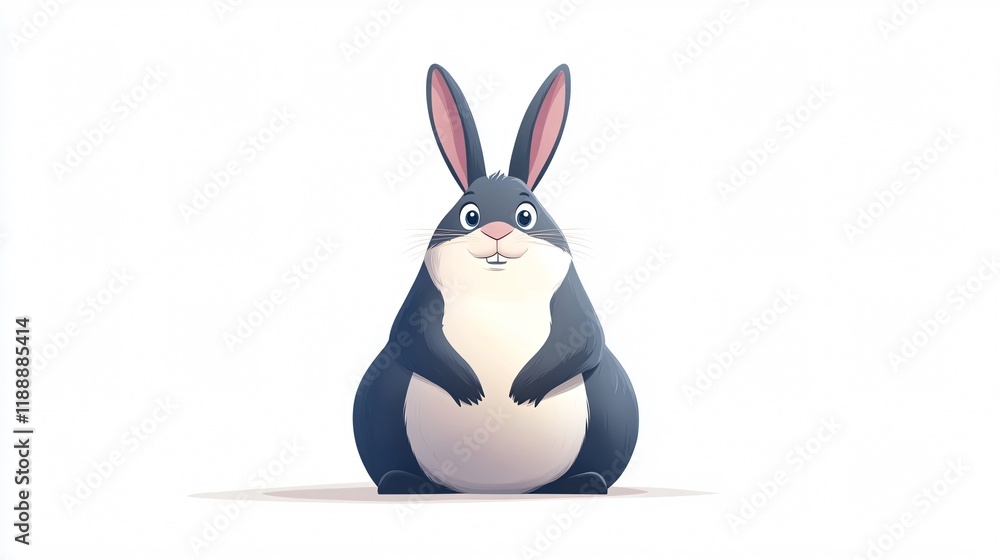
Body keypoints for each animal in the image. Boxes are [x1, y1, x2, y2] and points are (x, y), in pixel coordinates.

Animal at [353, 64, 639, 495]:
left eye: (526, 215)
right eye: (470, 215)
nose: (497, 231)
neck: (499, 288)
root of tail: (499, 490)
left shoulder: (571, 299)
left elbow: (585, 338)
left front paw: (524, 389)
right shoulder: (422, 300)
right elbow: (409, 338)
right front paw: (469, 388)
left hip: (614, 405)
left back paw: (583, 482)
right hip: (379, 398)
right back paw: (401, 482)